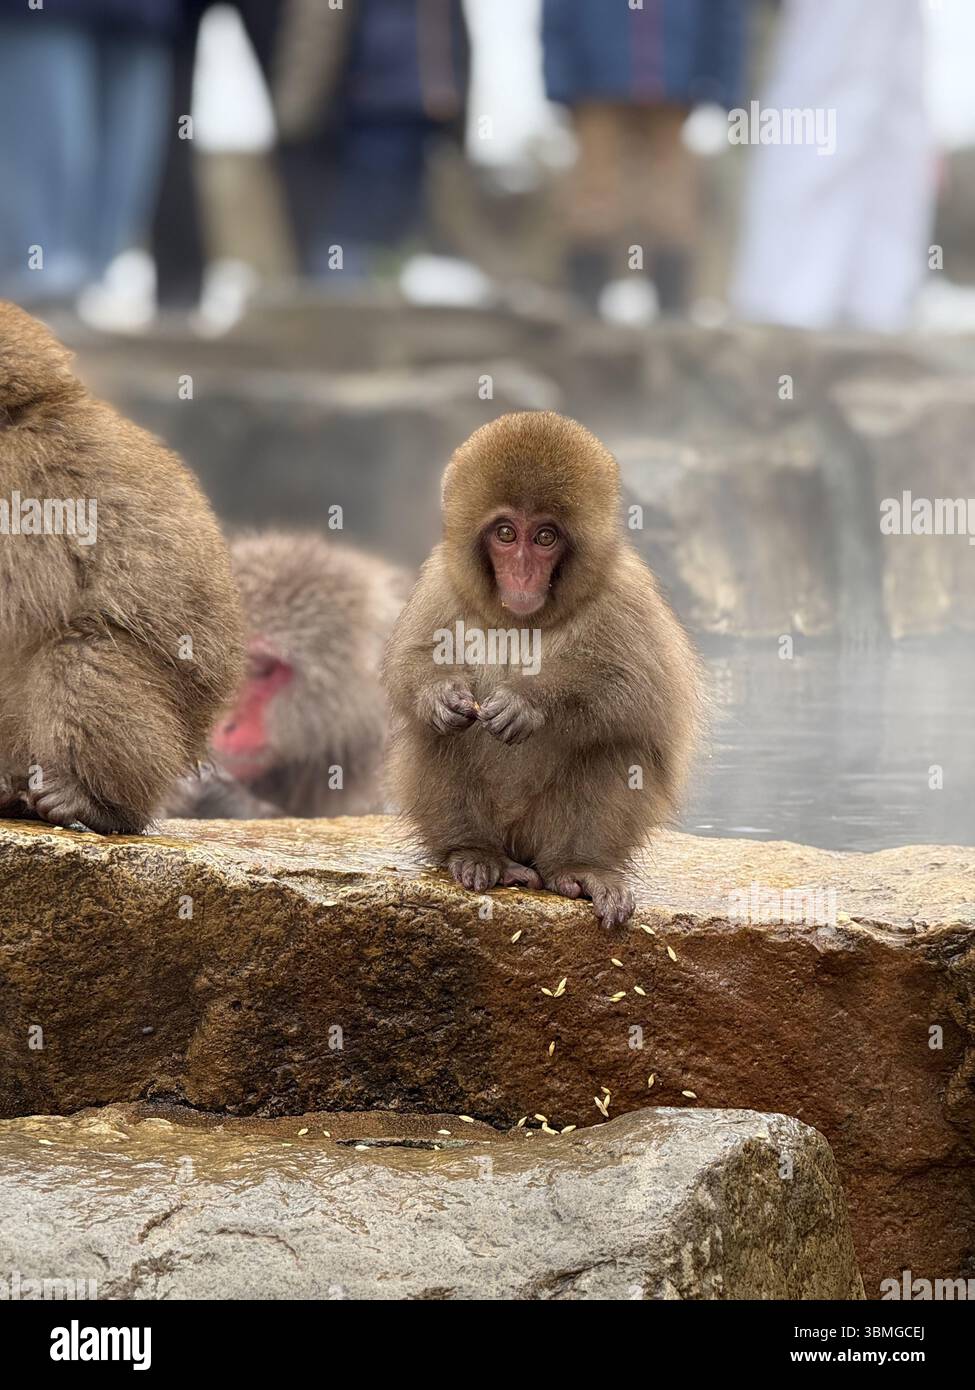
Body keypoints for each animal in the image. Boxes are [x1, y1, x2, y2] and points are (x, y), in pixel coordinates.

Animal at [382, 411, 702, 926]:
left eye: (545, 537)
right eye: (506, 534)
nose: (523, 574)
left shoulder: (624, 592)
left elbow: (642, 690)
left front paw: (526, 702)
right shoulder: (442, 580)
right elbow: (410, 662)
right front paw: (439, 695)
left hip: (543, 831)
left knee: (615, 746)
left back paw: (579, 867)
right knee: (436, 734)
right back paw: (475, 853)